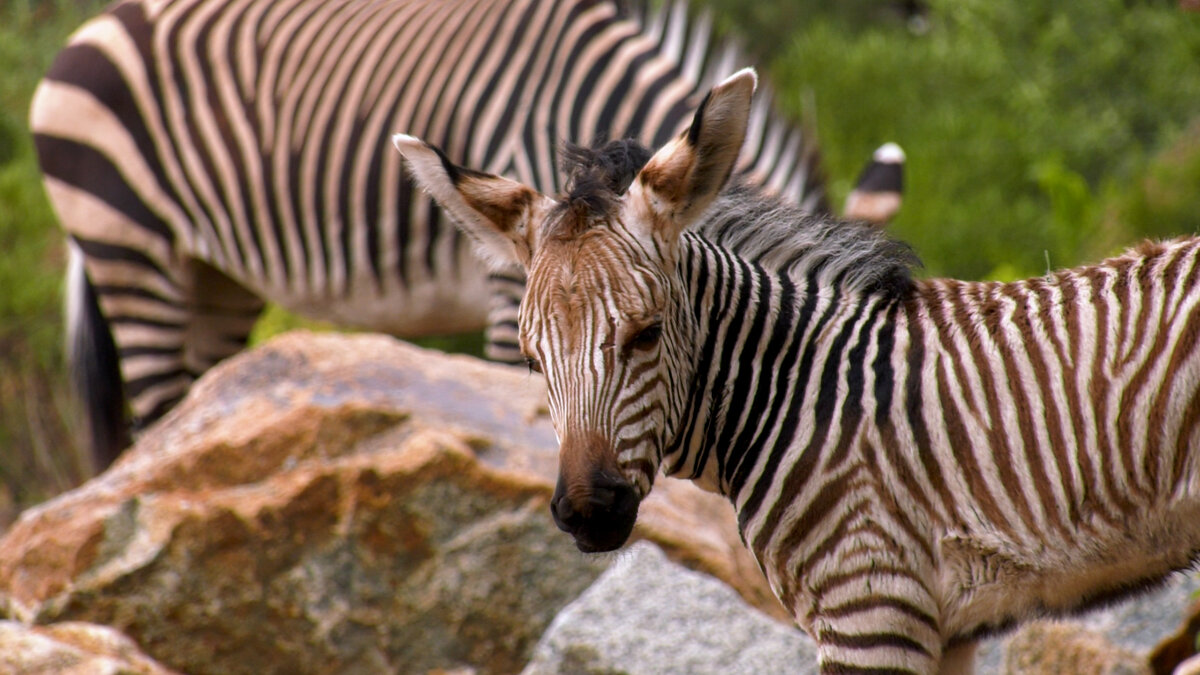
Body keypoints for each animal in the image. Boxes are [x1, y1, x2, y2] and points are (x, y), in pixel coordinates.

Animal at [393, 69, 1200, 674]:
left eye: (647, 333)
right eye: (533, 359)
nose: (589, 513)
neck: (798, 390)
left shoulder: (870, 606)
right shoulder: (945, 626)